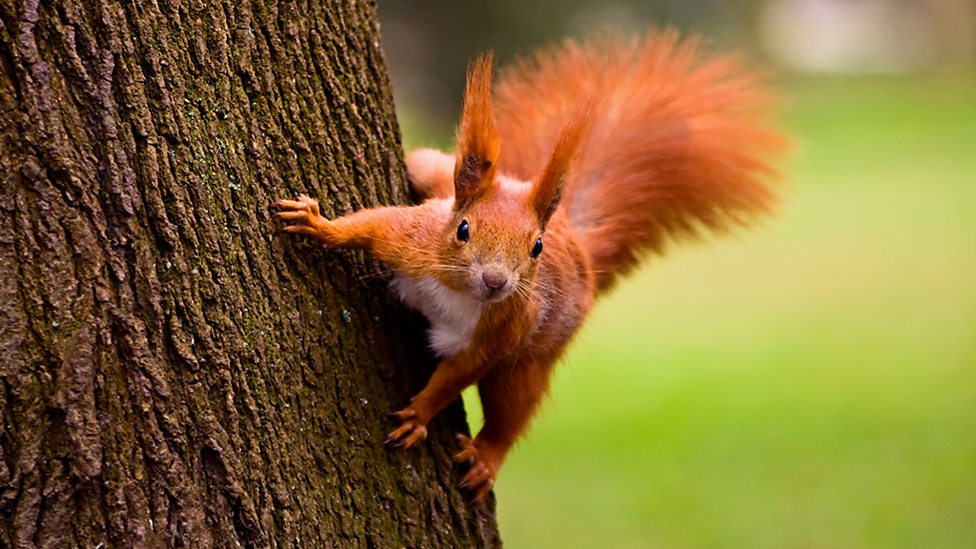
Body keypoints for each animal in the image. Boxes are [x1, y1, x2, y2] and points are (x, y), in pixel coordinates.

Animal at [272, 31, 784, 500]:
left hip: (530, 361)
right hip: (435, 176)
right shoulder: (413, 241)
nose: (496, 281)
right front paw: (319, 224)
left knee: (512, 409)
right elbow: (370, 225)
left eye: (536, 248)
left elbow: (458, 374)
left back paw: (487, 456)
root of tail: (579, 245)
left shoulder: (502, 331)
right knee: (426, 166)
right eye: (463, 230)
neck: (458, 291)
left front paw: (420, 415)